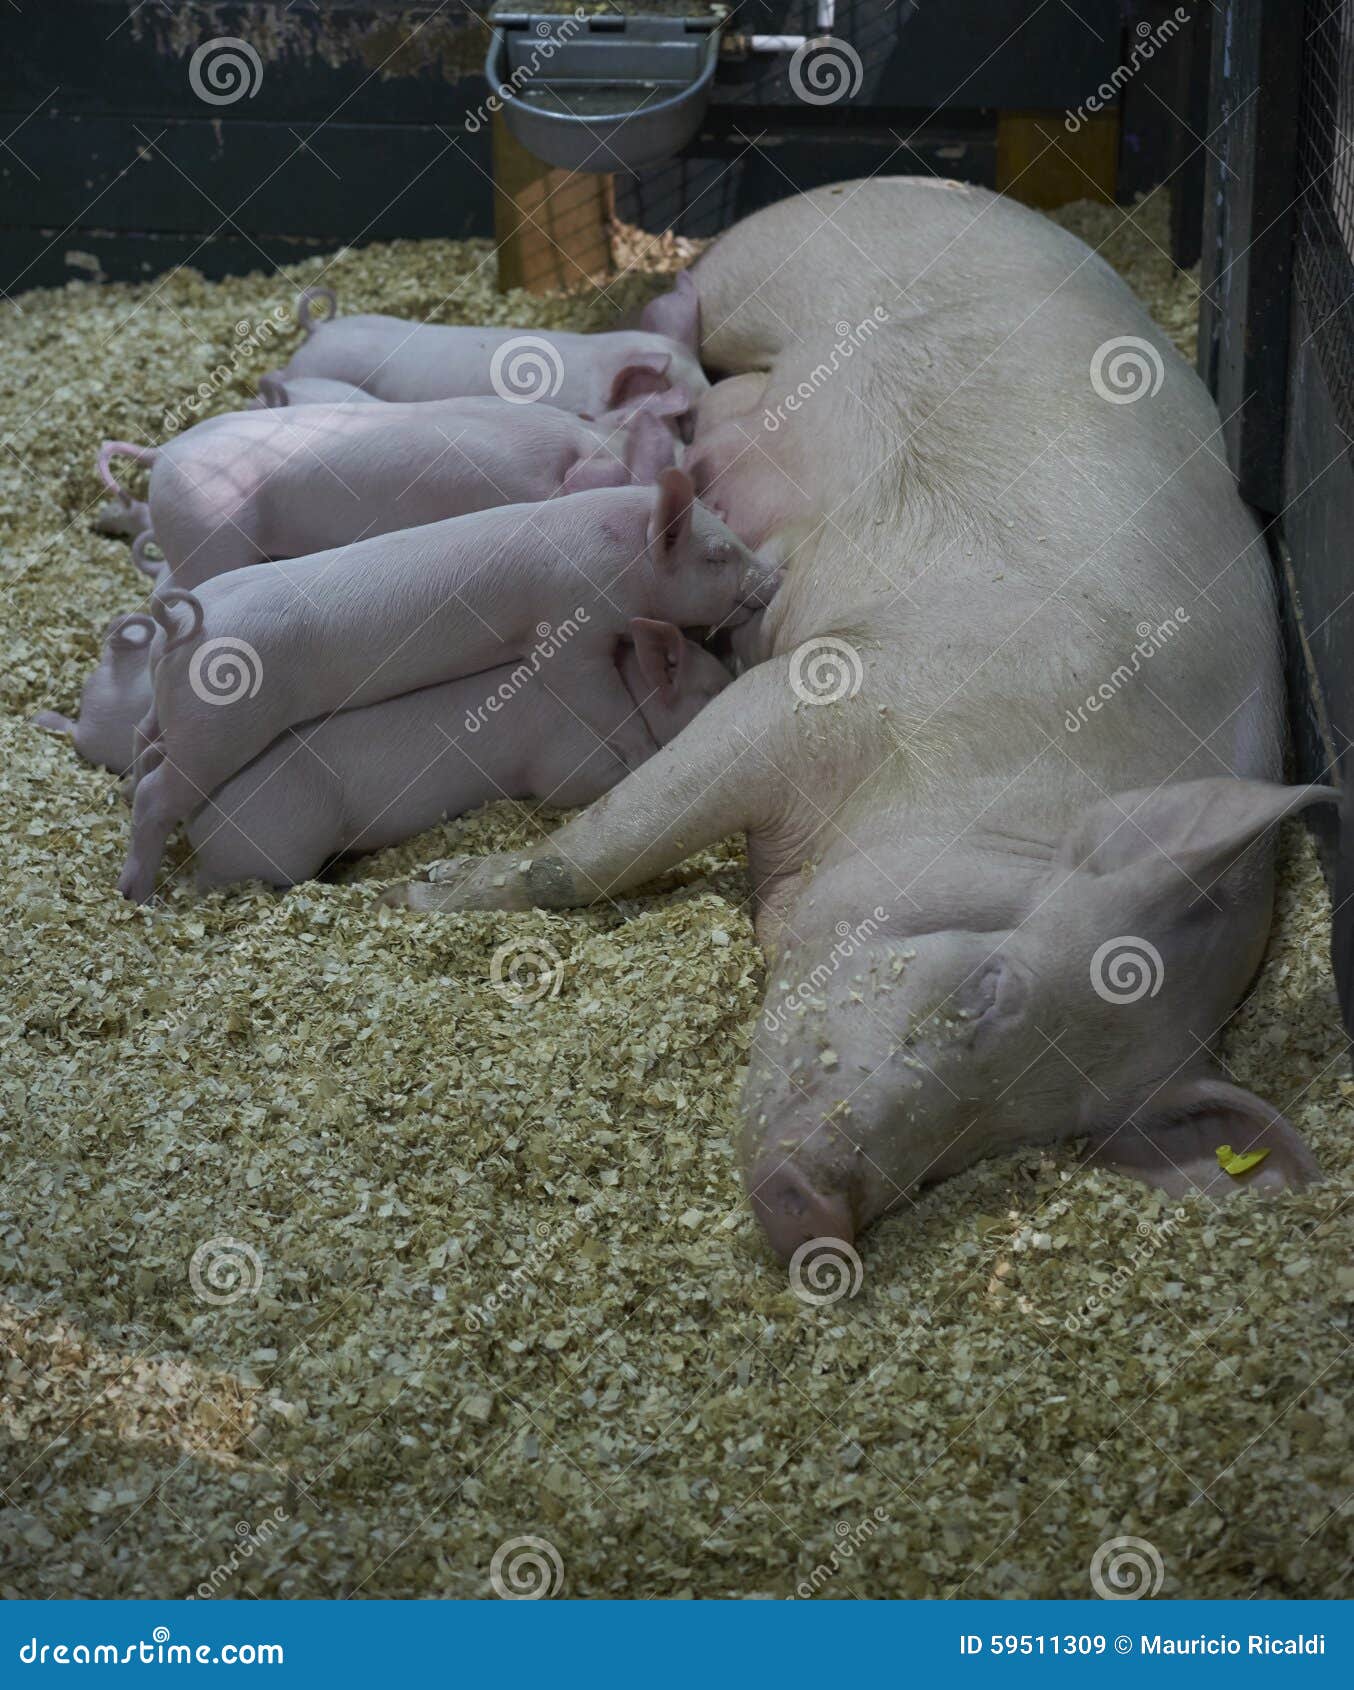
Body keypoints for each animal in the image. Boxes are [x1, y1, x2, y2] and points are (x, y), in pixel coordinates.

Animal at [380, 177, 1335, 1261]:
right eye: (984, 992)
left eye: (1008, 1135)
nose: (813, 1205)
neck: (1014, 779)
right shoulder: (822, 694)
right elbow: (590, 854)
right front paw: (417, 895)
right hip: (768, 266)